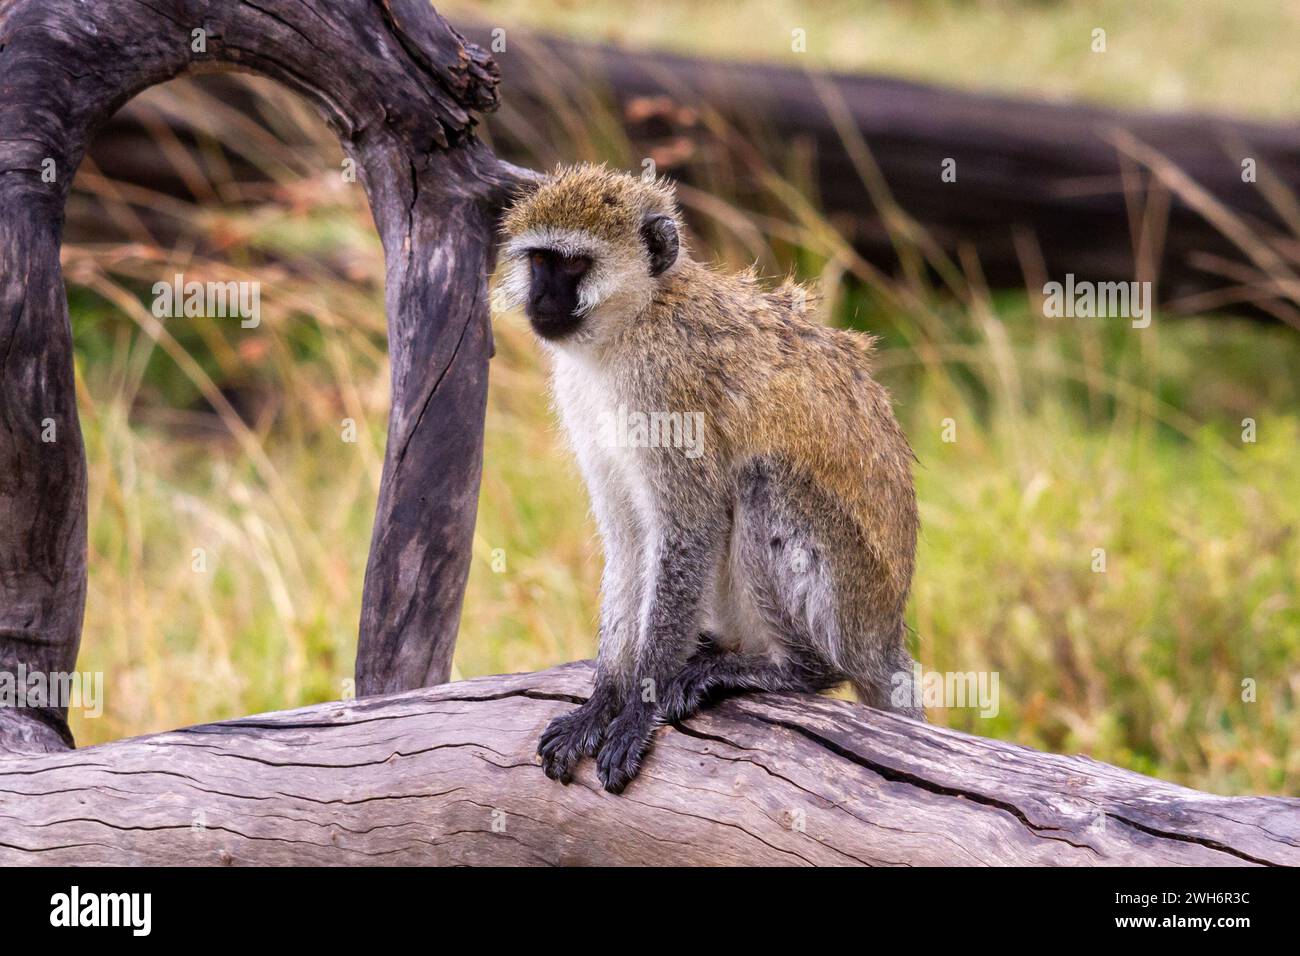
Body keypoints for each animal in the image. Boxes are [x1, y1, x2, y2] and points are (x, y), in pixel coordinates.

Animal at [498, 163, 922, 794]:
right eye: (541, 261)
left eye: (574, 266)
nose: (541, 298)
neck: (636, 319)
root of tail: (885, 634)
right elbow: (628, 539)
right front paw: (604, 700)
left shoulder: (669, 388)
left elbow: (690, 527)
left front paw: (638, 708)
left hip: (848, 602)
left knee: (761, 483)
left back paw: (794, 668)